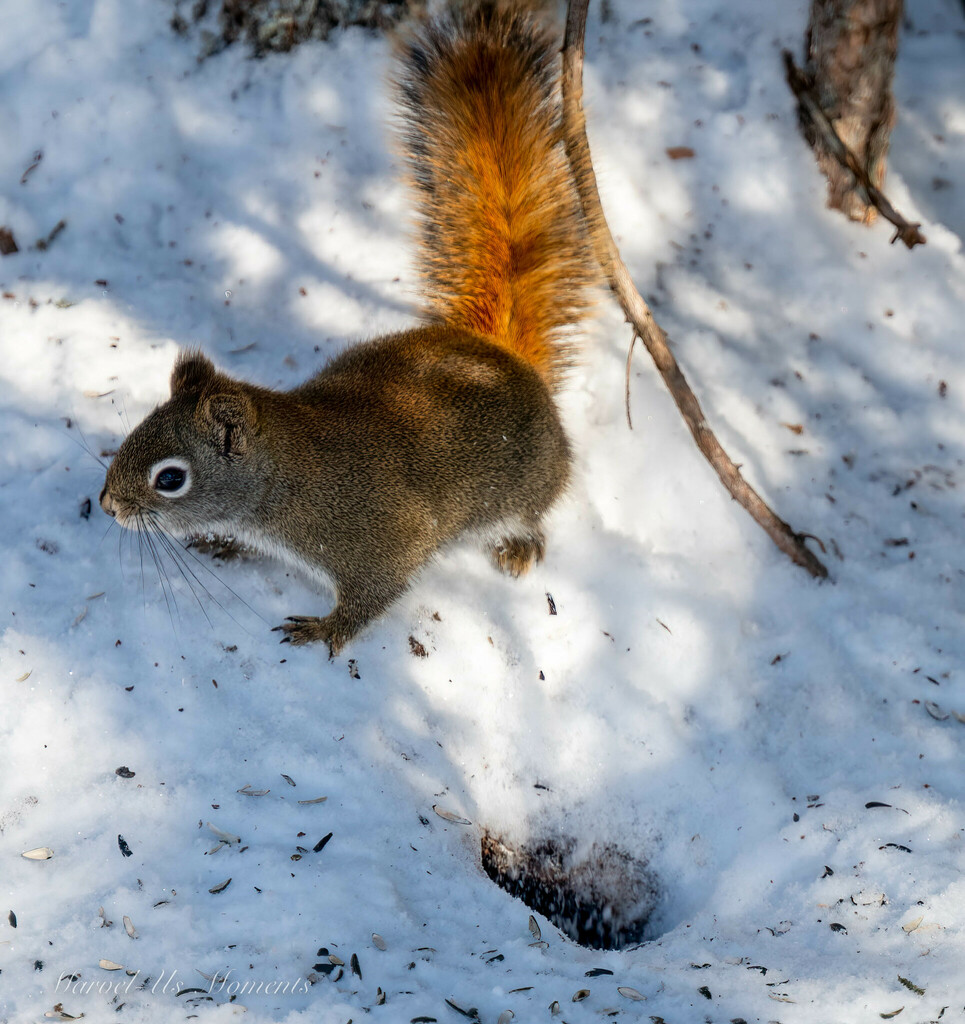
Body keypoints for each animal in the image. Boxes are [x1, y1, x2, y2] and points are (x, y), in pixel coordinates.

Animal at [99, 0, 595, 655]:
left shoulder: (382, 537)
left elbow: (375, 592)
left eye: (171, 478)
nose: (107, 505)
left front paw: (324, 630)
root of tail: (496, 349)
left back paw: (520, 545)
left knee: (536, 511)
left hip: (527, 481)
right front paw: (221, 542)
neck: (286, 477)